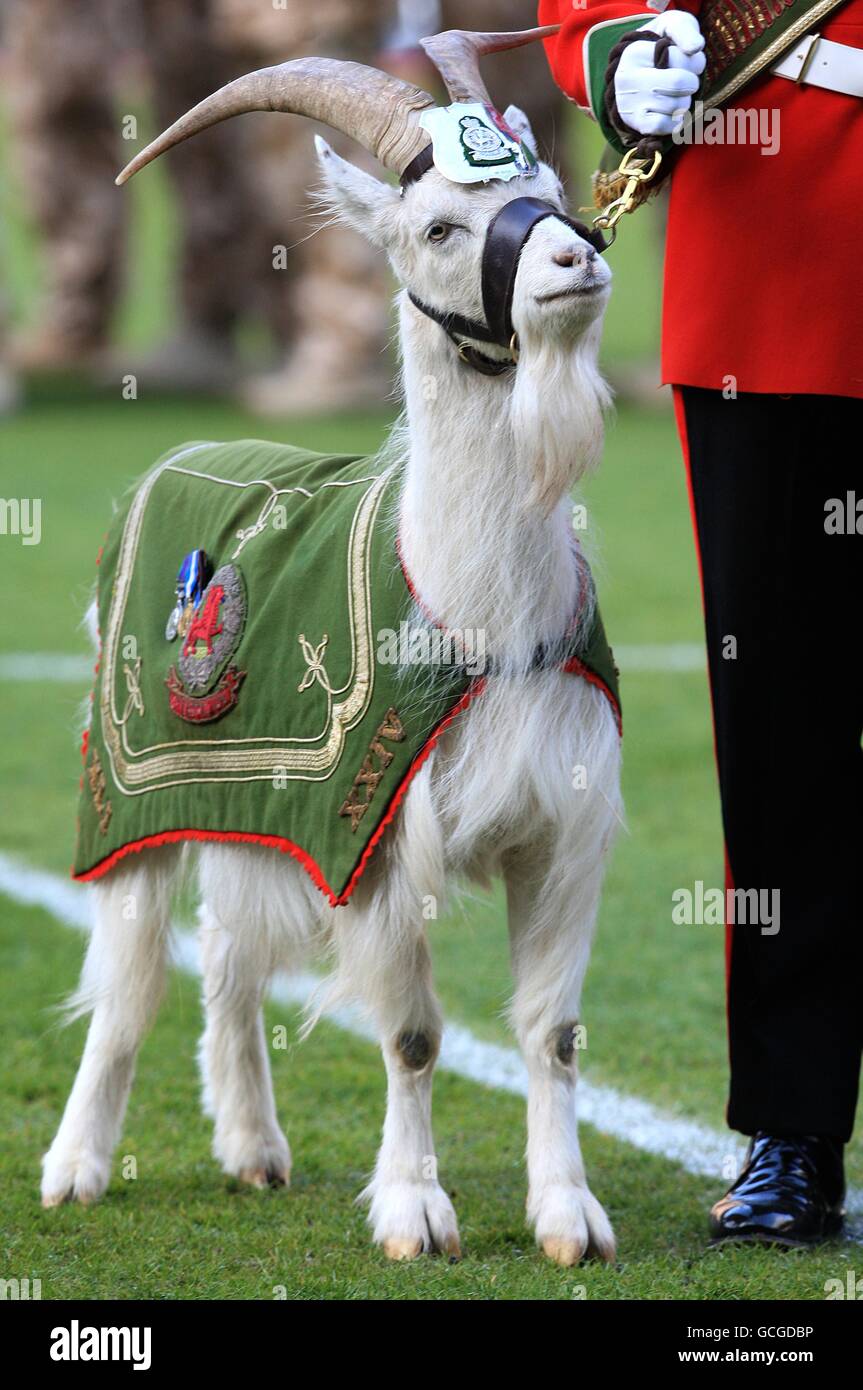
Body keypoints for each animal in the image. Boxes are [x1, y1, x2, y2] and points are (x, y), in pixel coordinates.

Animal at [42, 26, 622, 1266]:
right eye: (439, 227)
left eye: (549, 190)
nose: (576, 255)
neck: (473, 612)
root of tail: (187, 452)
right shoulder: (368, 830)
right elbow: (409, 1033)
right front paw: (412, 1211)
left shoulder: (559, 830)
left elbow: (549, 1031)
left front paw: (568, 1217)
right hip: (125, 796)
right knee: (129, 982)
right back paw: (74, 1167)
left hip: (249, 802)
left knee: (222, 955)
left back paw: (252, 1147)